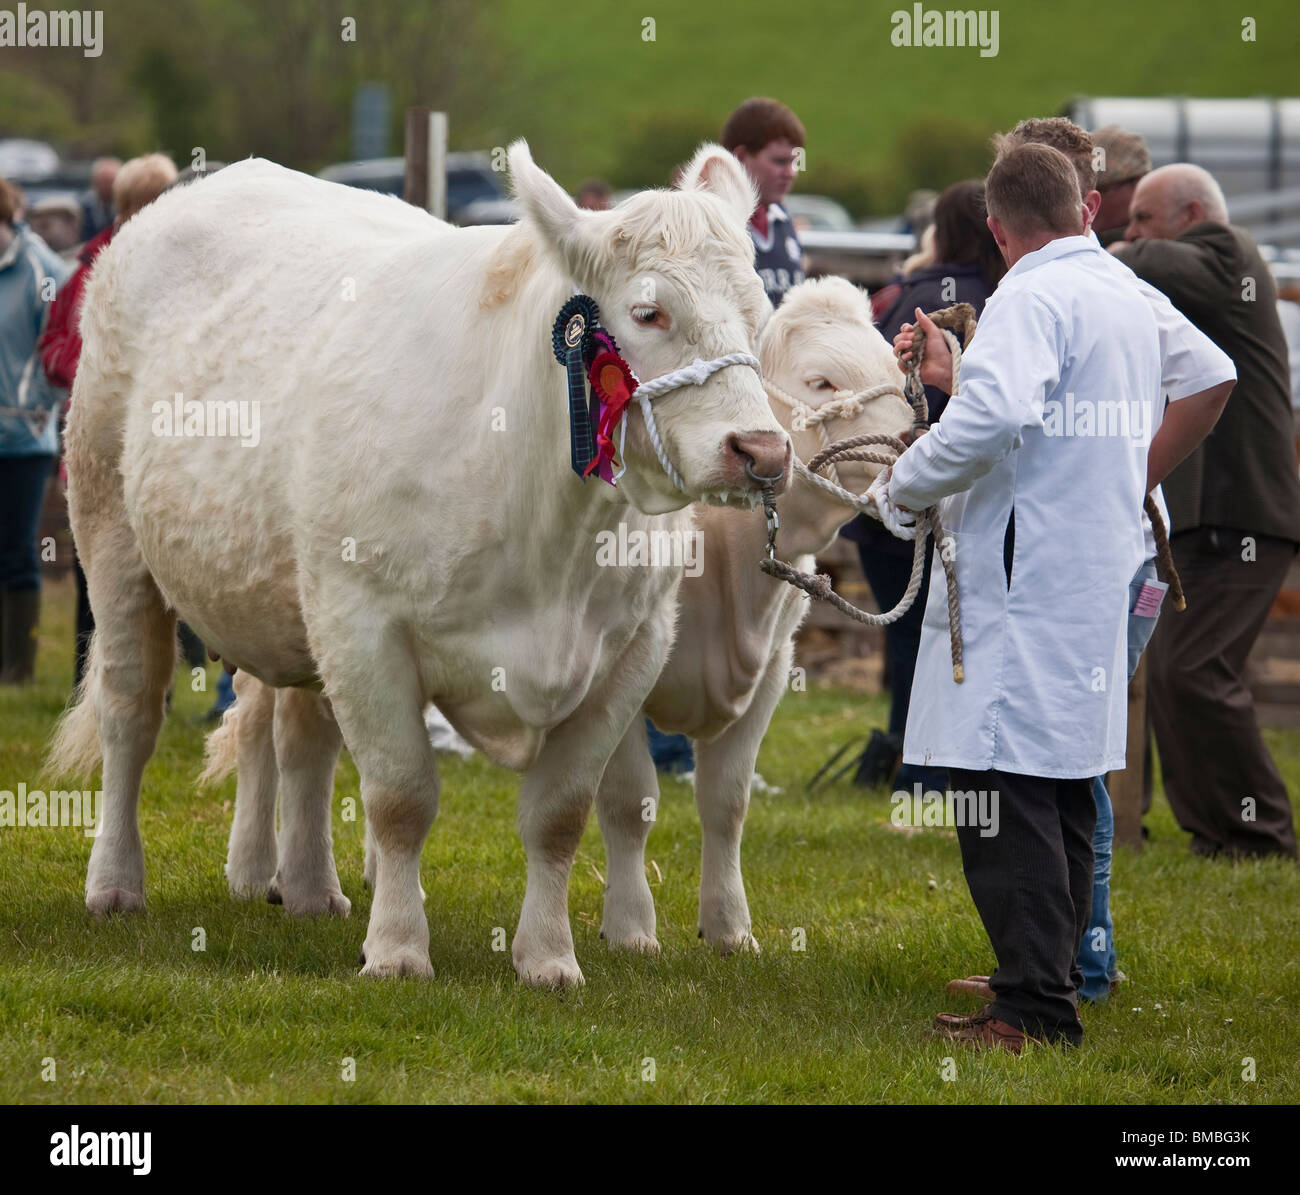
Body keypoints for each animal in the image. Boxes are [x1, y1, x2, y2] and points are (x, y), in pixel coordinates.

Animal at [46, 141, 791, 989]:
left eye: (760, 314)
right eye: (648, 313)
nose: (762, 451)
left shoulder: (631, 649)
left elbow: (561, 813)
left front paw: (548, 956)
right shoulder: (365, 624)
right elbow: (400, 797)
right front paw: (399, 948)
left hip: (295, 594)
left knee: (300, 737)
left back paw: (310, 888)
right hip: (112, 535)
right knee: (130, 712)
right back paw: (115, 882)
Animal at [202, 275, 911, 961]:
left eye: (895, 369)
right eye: (822, 381)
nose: (908, 440)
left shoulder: (769, 672)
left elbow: (726, 804)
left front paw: (730, 928)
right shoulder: (628, 664)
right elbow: (629, 803)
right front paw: (632, 929)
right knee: (267, 732)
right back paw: (258, 871)